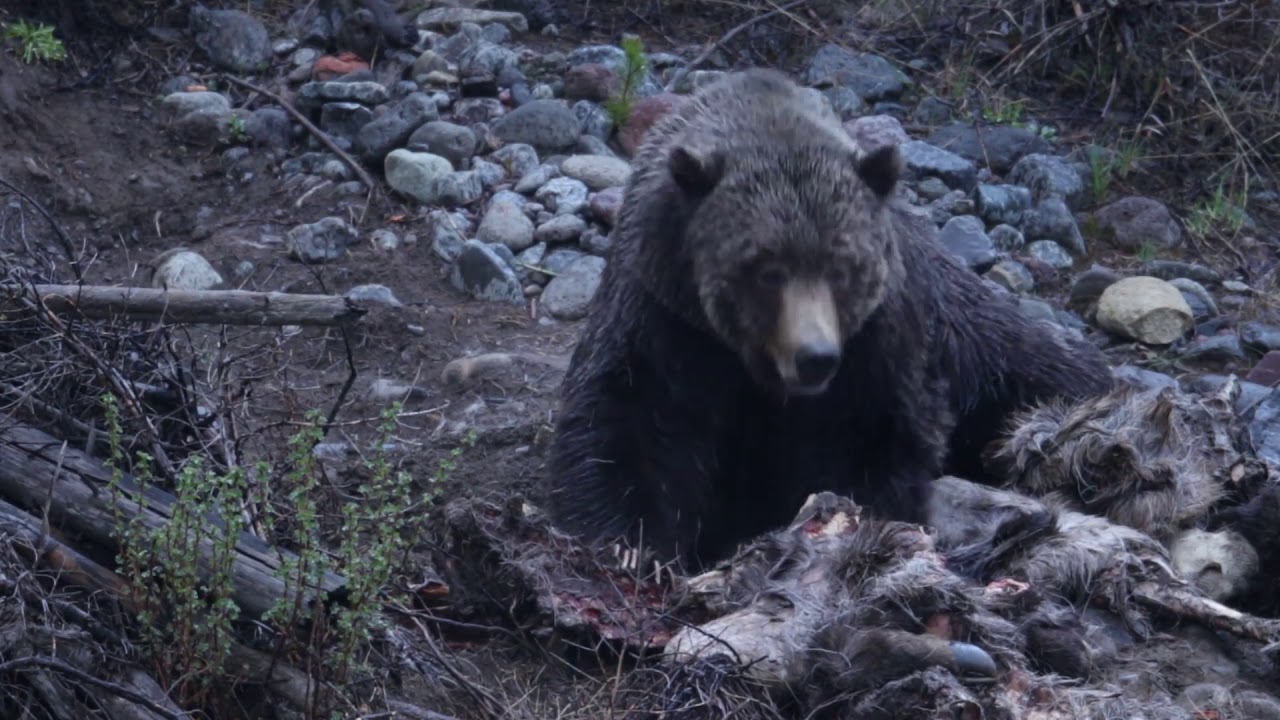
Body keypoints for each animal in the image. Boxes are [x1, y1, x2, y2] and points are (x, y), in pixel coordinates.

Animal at [542, 67, 1114, 570]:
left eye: (842, 266)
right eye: (766, 269)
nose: (814, 357)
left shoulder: (878, 344)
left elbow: (871, 444)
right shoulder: (664, 314)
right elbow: (629, 419)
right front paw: (635, 545)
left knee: (1042, 368)